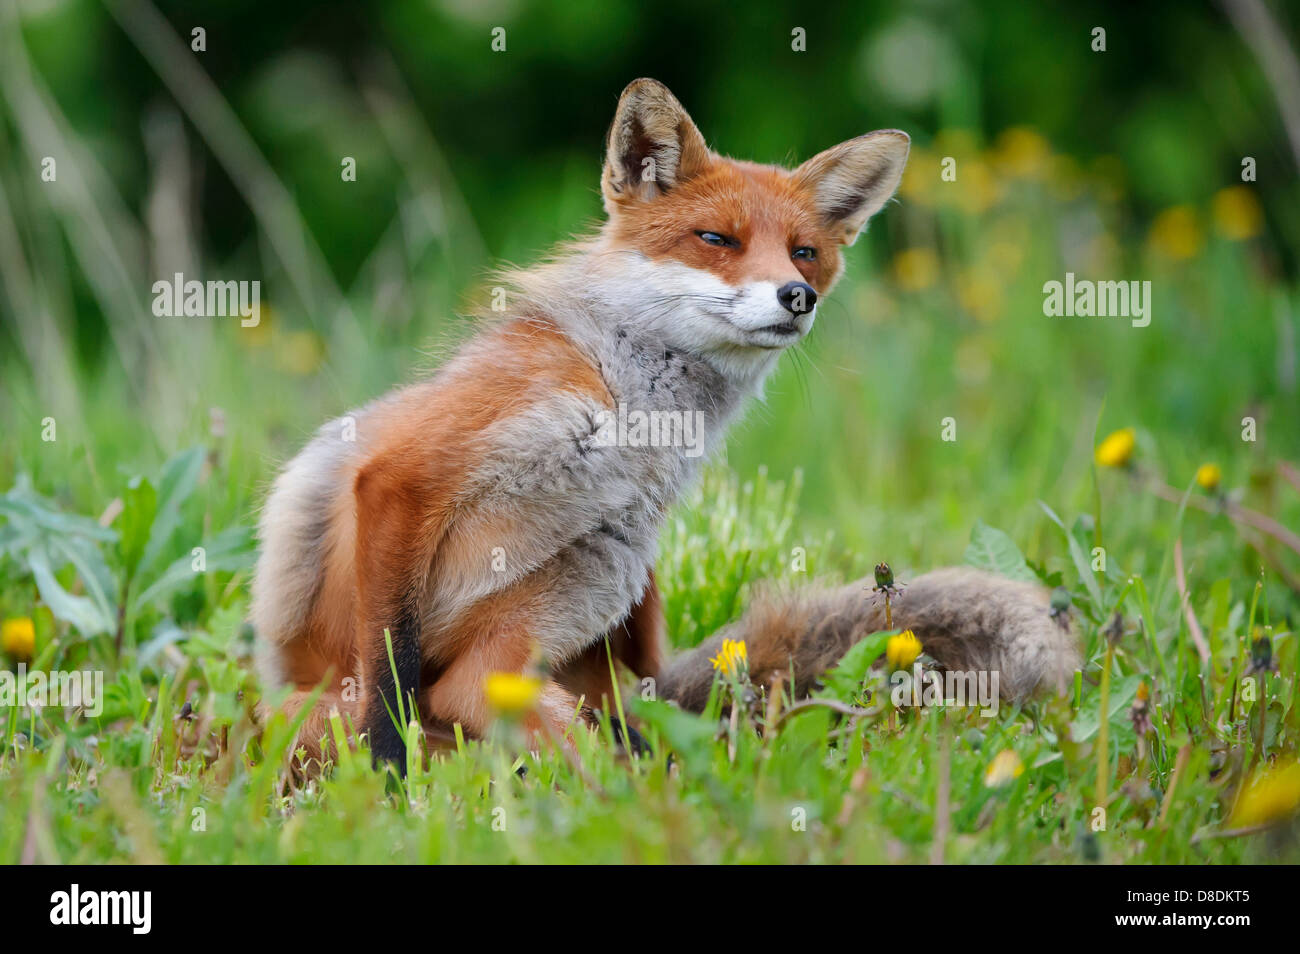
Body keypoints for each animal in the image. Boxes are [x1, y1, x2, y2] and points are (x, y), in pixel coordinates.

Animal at [250, 78, 1080, 773]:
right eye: (716, 240)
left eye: (804, 252)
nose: (797, 296)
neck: (629, 397)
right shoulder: (408, 473)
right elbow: (389, 673)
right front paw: (387, 774)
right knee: (455, 692)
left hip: (612, 551)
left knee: (501, 687)